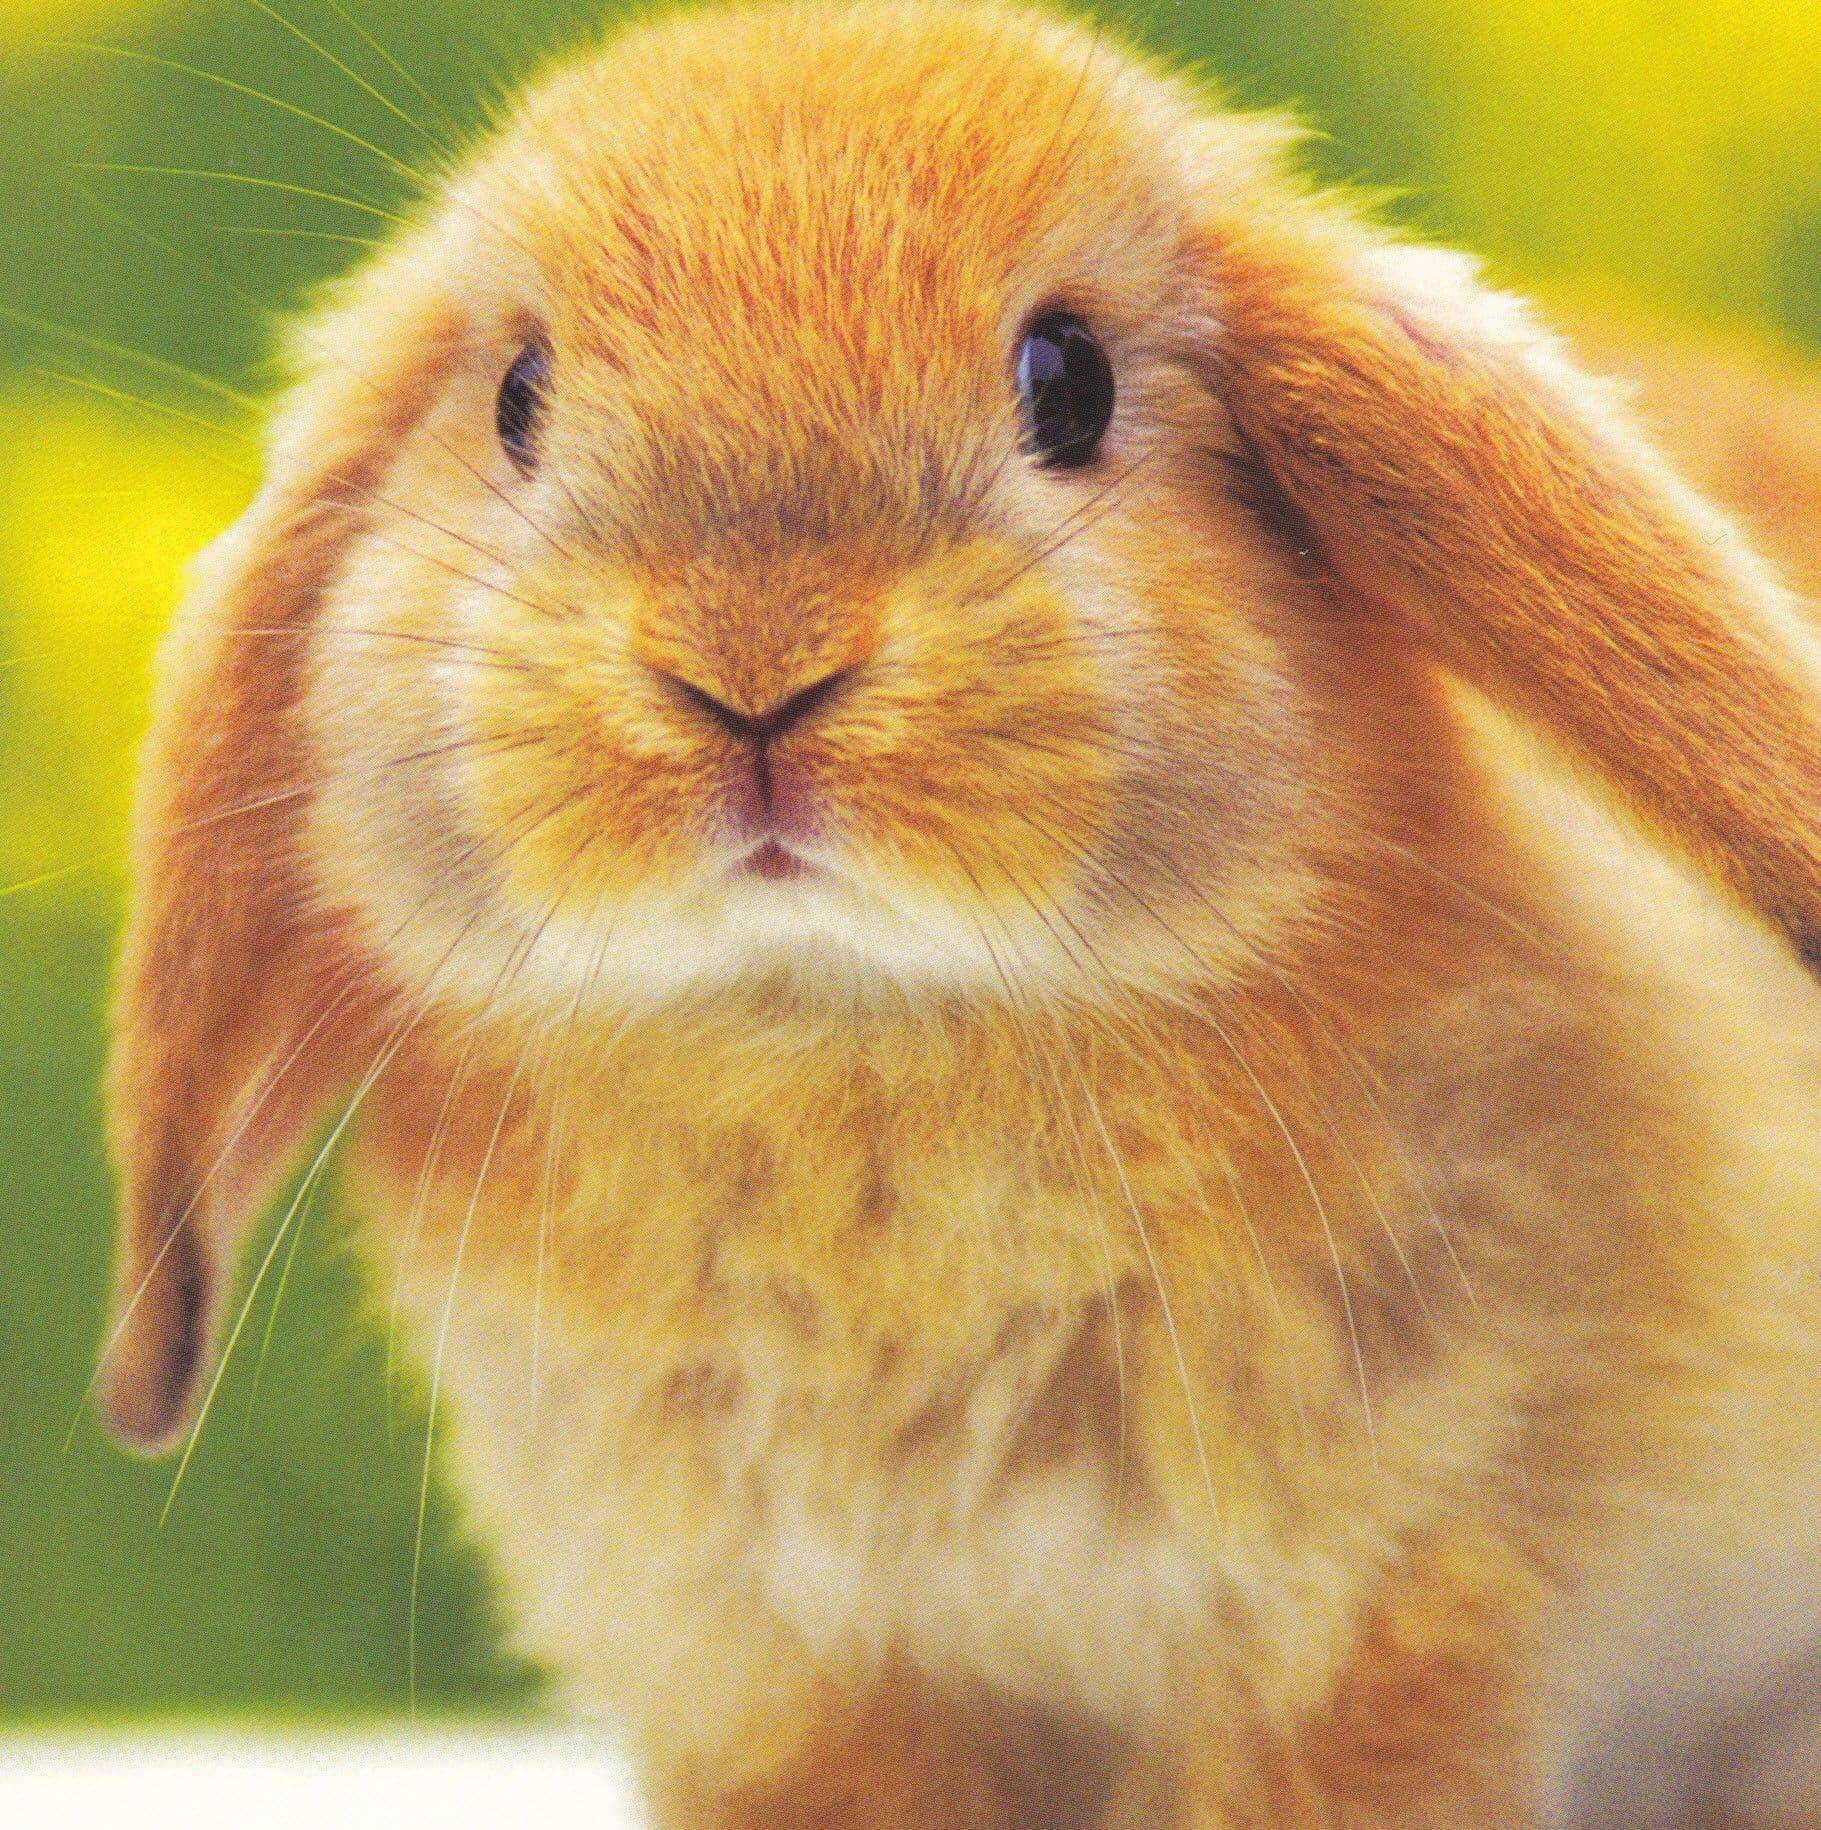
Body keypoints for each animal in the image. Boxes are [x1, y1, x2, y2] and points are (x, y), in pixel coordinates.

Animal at [92, 1, 1821, 1823]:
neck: (840, 1038)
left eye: (1070, 379)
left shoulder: (1380, 1619)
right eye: (517, 397)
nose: (754, 662)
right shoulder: (772, 1682)